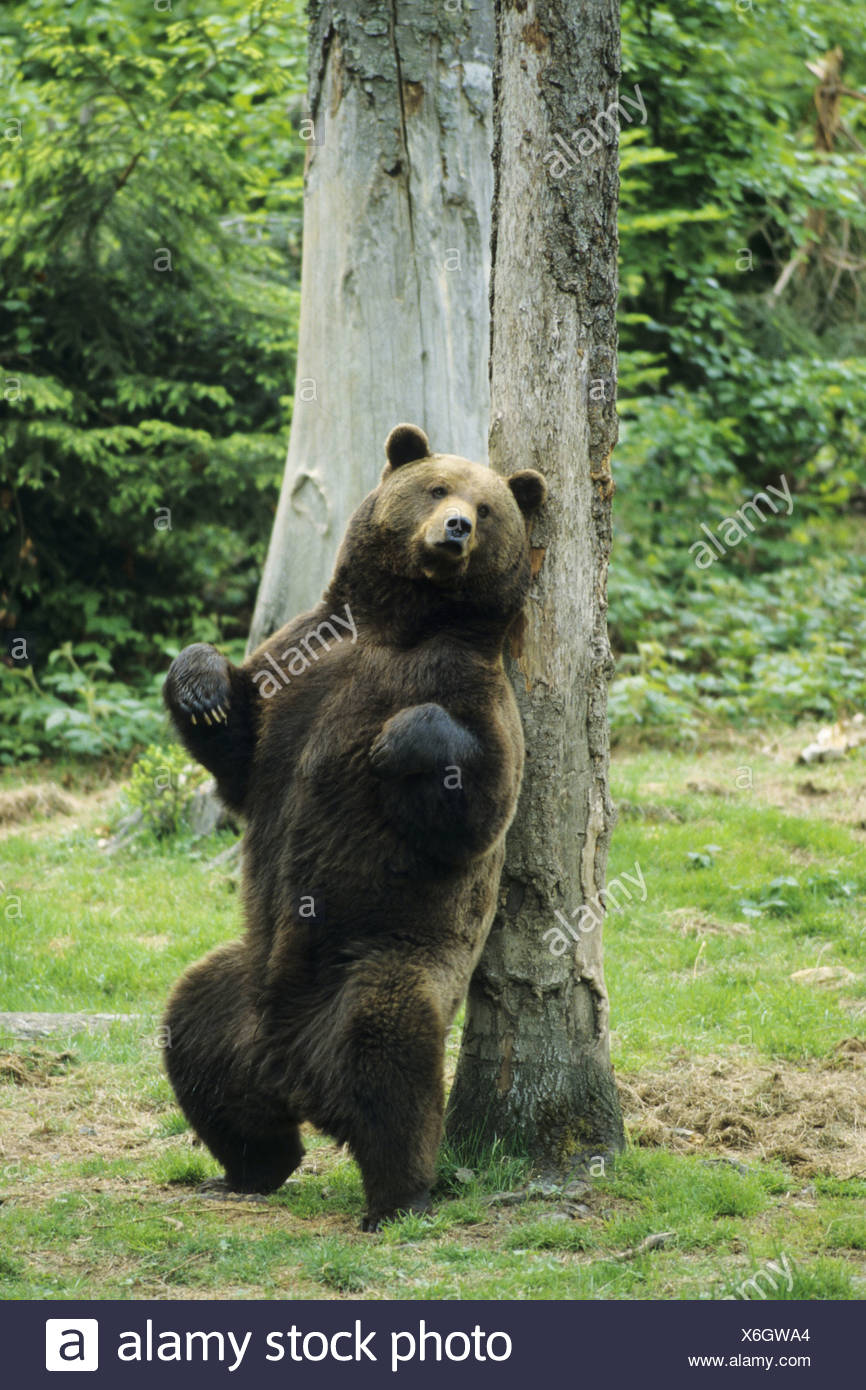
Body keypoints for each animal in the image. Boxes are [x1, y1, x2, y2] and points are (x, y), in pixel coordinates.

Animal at [161, 423, 546, 1228]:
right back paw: (244, 1170)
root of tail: (292, 1071)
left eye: (488, 508)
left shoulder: (476, 693)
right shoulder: (303, 661)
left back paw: (398, 1199)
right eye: (437, 488)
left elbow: (480, 806)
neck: (399, 625)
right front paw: (201, 684)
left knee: (391, 1061)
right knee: (194, 1038)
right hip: (238, 992)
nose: (455, 530)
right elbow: (240, 755)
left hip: (379, 962)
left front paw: (397, 744)